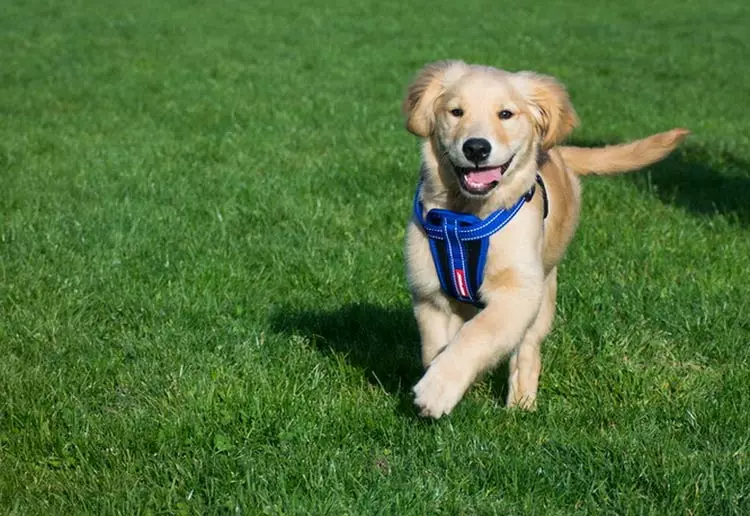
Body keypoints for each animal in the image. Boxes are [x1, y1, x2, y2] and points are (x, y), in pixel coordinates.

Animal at [402, 59, 692, 420]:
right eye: (456, 112)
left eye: (506, 114)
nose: (476, 147)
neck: (464, 216)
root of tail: (559, 155)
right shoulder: (431, 294)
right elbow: (436, 348)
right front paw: (444, 383)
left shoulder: (519, 293)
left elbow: (478, 335)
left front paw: (437, 390)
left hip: (544, 296)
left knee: (526, 352)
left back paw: (521, 406)